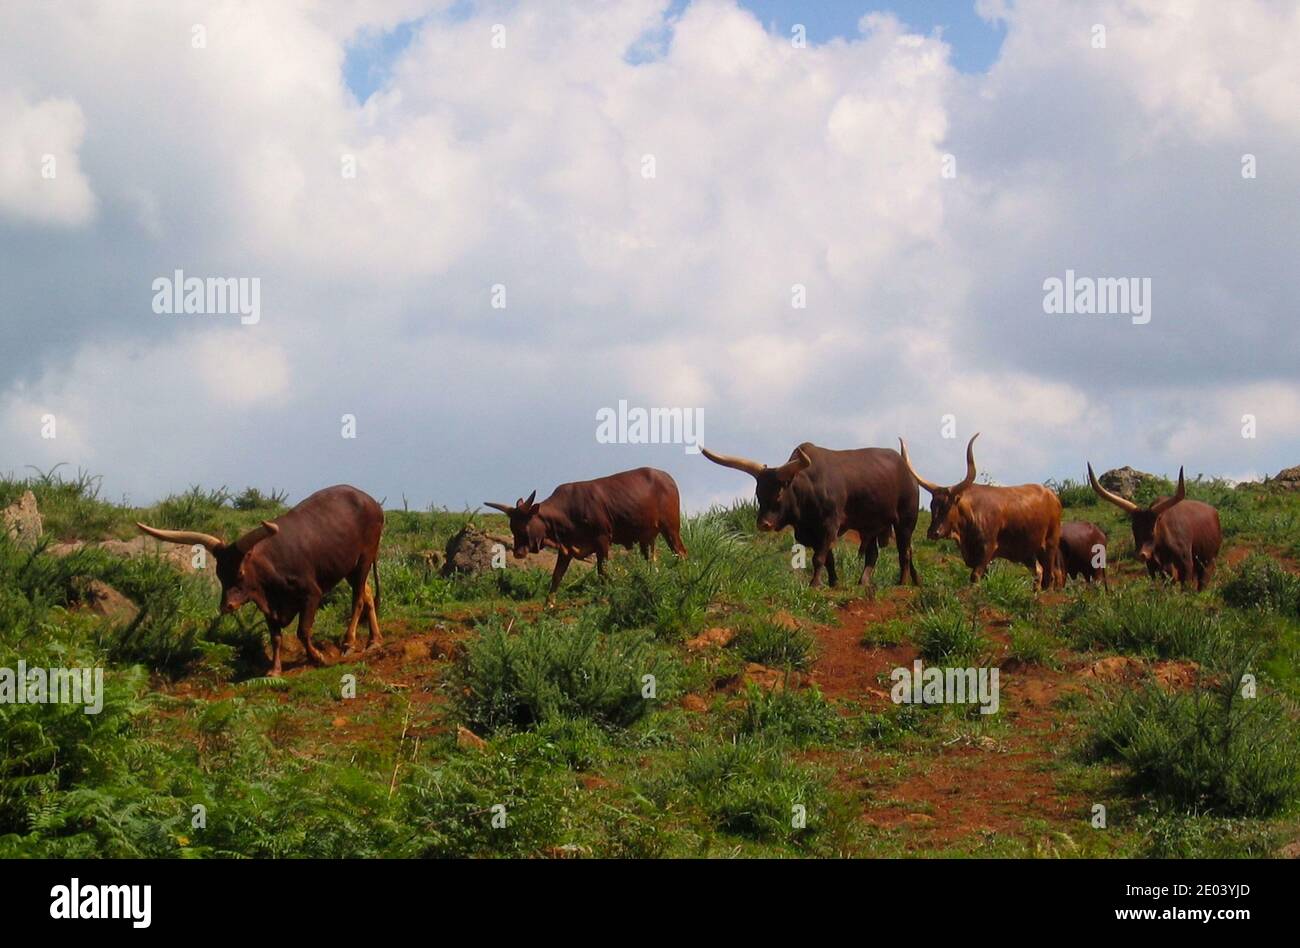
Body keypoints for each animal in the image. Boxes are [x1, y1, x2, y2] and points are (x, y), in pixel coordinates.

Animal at [137, 485, 384, 676]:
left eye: (240, 573)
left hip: (364, 558)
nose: (227, 606)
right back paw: (374, 640)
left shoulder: (312, 594)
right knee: (367, 593)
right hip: (350, 566)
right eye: (219, 574)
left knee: (358, 599)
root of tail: (371, 501)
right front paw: (274, 669)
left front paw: (317, 657)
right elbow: (275, 637)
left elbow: (303, 631)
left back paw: (349, 642)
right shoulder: (269, 607)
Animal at [485, 467, 687, 603]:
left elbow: (602, 572)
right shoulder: (566, 549)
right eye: (512, 528)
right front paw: (548, 605)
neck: (566, 512)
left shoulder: (602, 540)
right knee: (652, 562)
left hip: (671, 528)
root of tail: (667, 477)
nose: (518, 553)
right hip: (647, 538)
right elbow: (556, 576)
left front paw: (605, 598)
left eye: (525, 526)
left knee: (681, 553)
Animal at [700, 442, 920, 590]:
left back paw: (902, 582)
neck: (806, 488)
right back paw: (863, 581)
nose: (764, 524)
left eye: (778, 492)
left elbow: (819, 557)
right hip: (870, 525)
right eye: (758, 493)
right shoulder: (813, 532)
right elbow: (828, 558)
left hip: (905, 522)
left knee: (904, 552)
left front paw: (815, 583)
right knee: (873, 554)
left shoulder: (829, 526)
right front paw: (833, 582)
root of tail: (905, 468)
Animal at [900, 433, 1062, 590]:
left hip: (1049, 544)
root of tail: (1052, 495)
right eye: (932, 505)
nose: (933, 532)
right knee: (1038, 571)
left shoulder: (987, 549)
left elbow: (975, 575)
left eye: (948, 506)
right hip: (1026, 550)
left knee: (1051, 574)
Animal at [1087, 464, 1221, 590]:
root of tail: (1213, 511)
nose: (1141, 554)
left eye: (1152, 530)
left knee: (1202, 583)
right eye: (1134, 529)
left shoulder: (1186, 564)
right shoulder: (1154, 569)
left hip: (1209, 562)